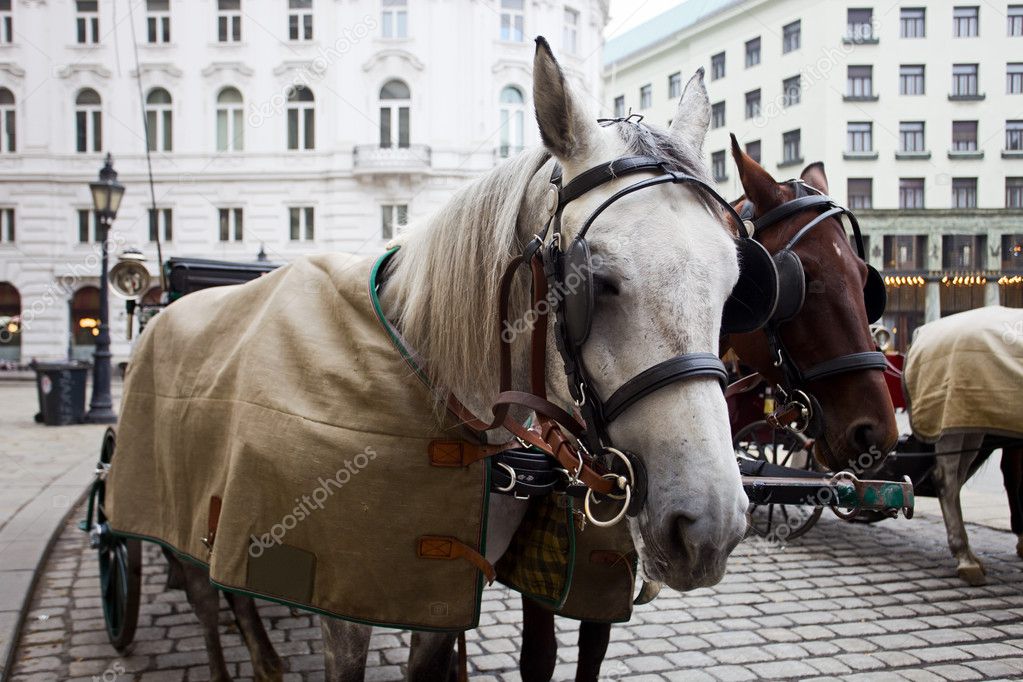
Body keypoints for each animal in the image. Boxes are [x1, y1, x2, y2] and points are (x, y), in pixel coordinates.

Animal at [115, 37, 751, 681]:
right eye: (594, 282)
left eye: (736, 285)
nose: (709, 525)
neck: (425, 383)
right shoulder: (340, 604)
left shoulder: (444, 589)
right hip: (179, 502)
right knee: (204, 592)